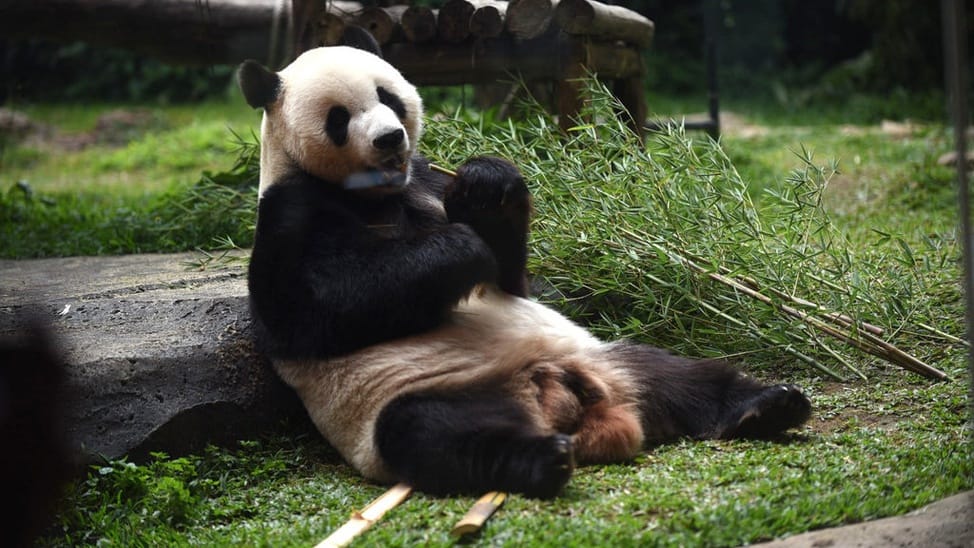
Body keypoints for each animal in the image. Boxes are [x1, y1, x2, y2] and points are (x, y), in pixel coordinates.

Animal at [238, 28, 811, 499]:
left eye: (388, 97)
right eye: (339, 118)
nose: (389, 138)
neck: (381, 192)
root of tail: (560, 399)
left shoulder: (424, 179)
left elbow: (516, 281)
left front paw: (488, 186)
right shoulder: (292, 209)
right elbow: (309, 310)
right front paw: (460, 247)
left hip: (606, 357)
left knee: (681, 376)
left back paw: (769, 404)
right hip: (409, 397)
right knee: (435, 433)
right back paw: (542, 459)